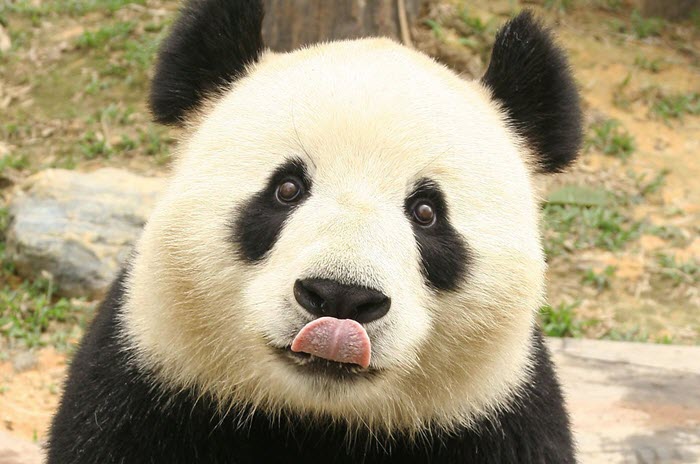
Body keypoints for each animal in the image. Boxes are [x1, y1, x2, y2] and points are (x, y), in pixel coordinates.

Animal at [48, 1, 582, 463]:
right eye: (287, 188)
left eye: (427, 212)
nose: (341, 297)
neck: (317, 418)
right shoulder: (152, 382)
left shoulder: (492, 417)